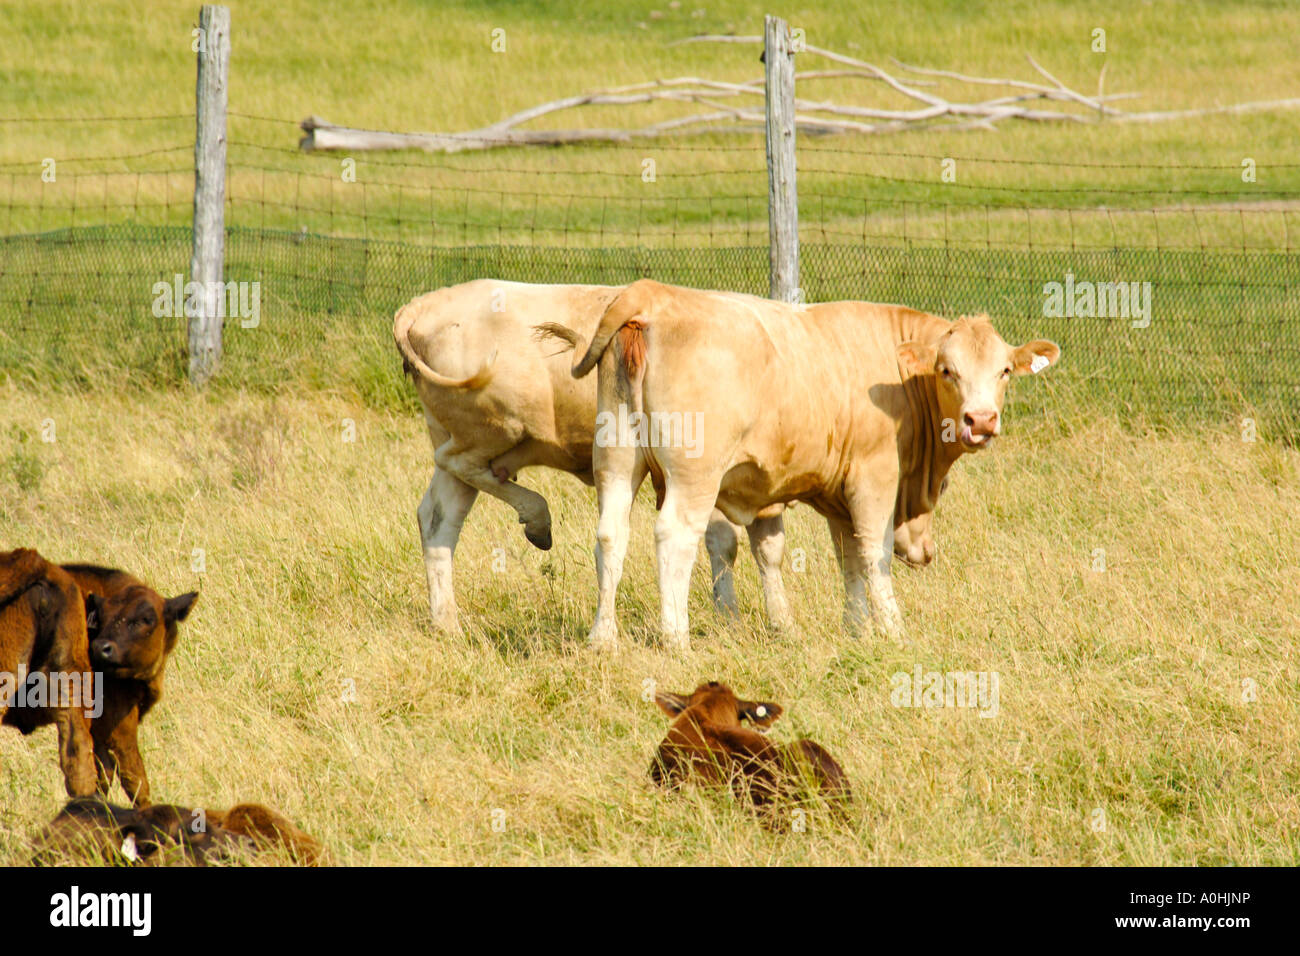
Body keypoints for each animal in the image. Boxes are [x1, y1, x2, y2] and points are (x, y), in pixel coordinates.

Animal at [60, 564, 198, 806]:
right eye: (102, 617)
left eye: (146, 619)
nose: (100, 648)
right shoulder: (118, 726)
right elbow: (135, 779)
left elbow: (103, 776)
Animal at [392, 280, 797, 634]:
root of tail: (424, 304)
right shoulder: (703, 471)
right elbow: (723, 543)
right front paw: (734, 619)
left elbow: (762, 547)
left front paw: (778, 621)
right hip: (497, 426)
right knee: (458, 463)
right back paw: (537, 517)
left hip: (456, 434)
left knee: (438, 519)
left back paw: (447, 623)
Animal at [572, 279, 1060, 649]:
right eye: (946, 370)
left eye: (1004, 371)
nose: (981, 420)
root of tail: (653, 293)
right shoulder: (874, 477)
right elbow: (874, 553)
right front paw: (894, 632)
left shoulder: (839, 496)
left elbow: (849, 558)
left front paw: (857, 629)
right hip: (694, 477)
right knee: (675, 539)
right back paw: (676, 638)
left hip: (617, 459)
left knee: (610, 535)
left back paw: (602, 637)